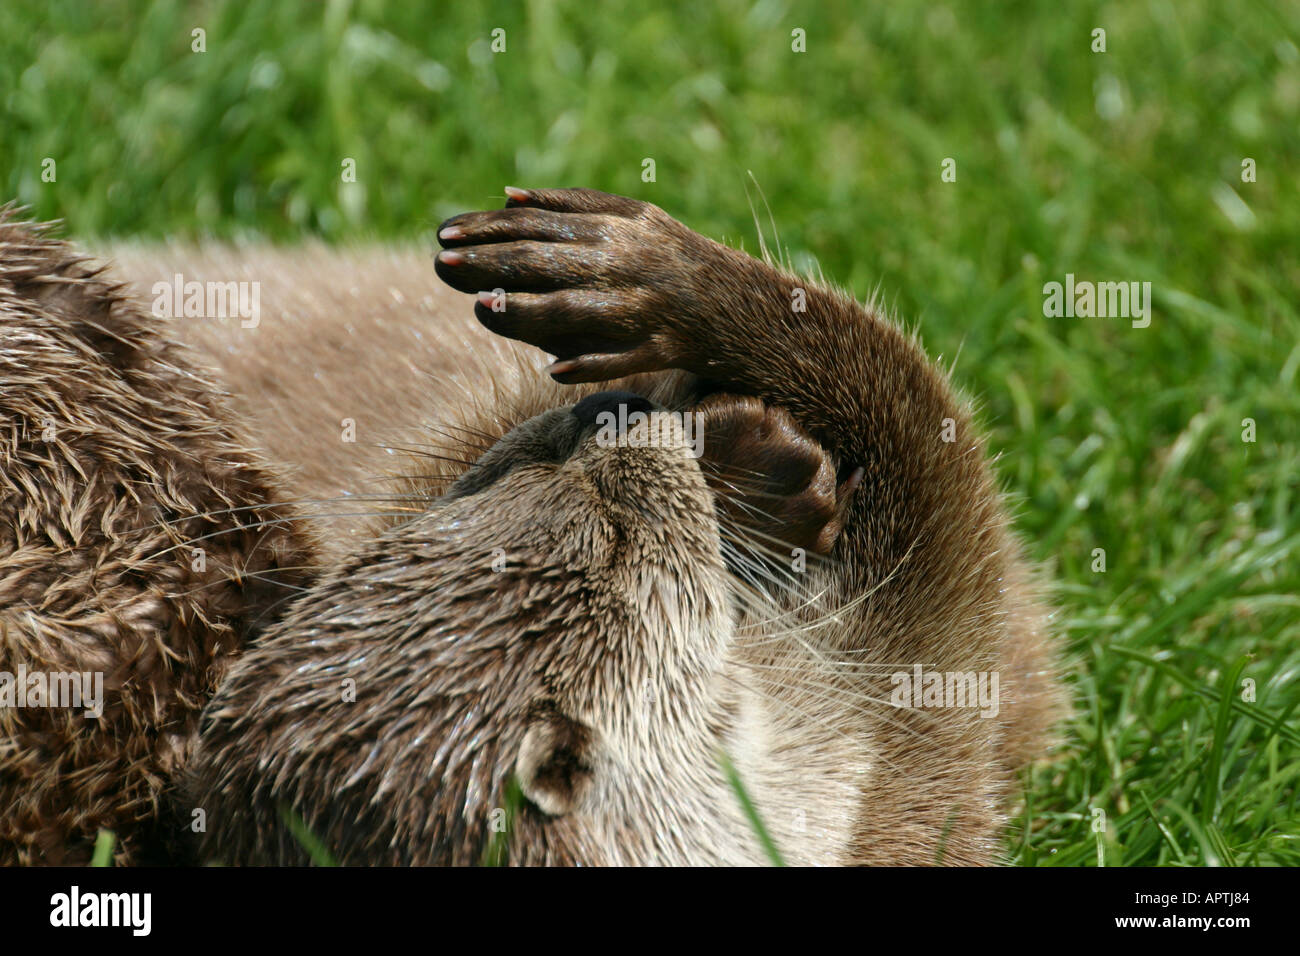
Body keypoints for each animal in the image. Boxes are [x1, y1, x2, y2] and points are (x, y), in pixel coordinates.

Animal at [0, 189, 1061, 865]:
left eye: (483, 506)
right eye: (618, 532)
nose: (615, 426)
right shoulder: (932, 670)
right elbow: (903, 393)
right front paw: (658, 280)